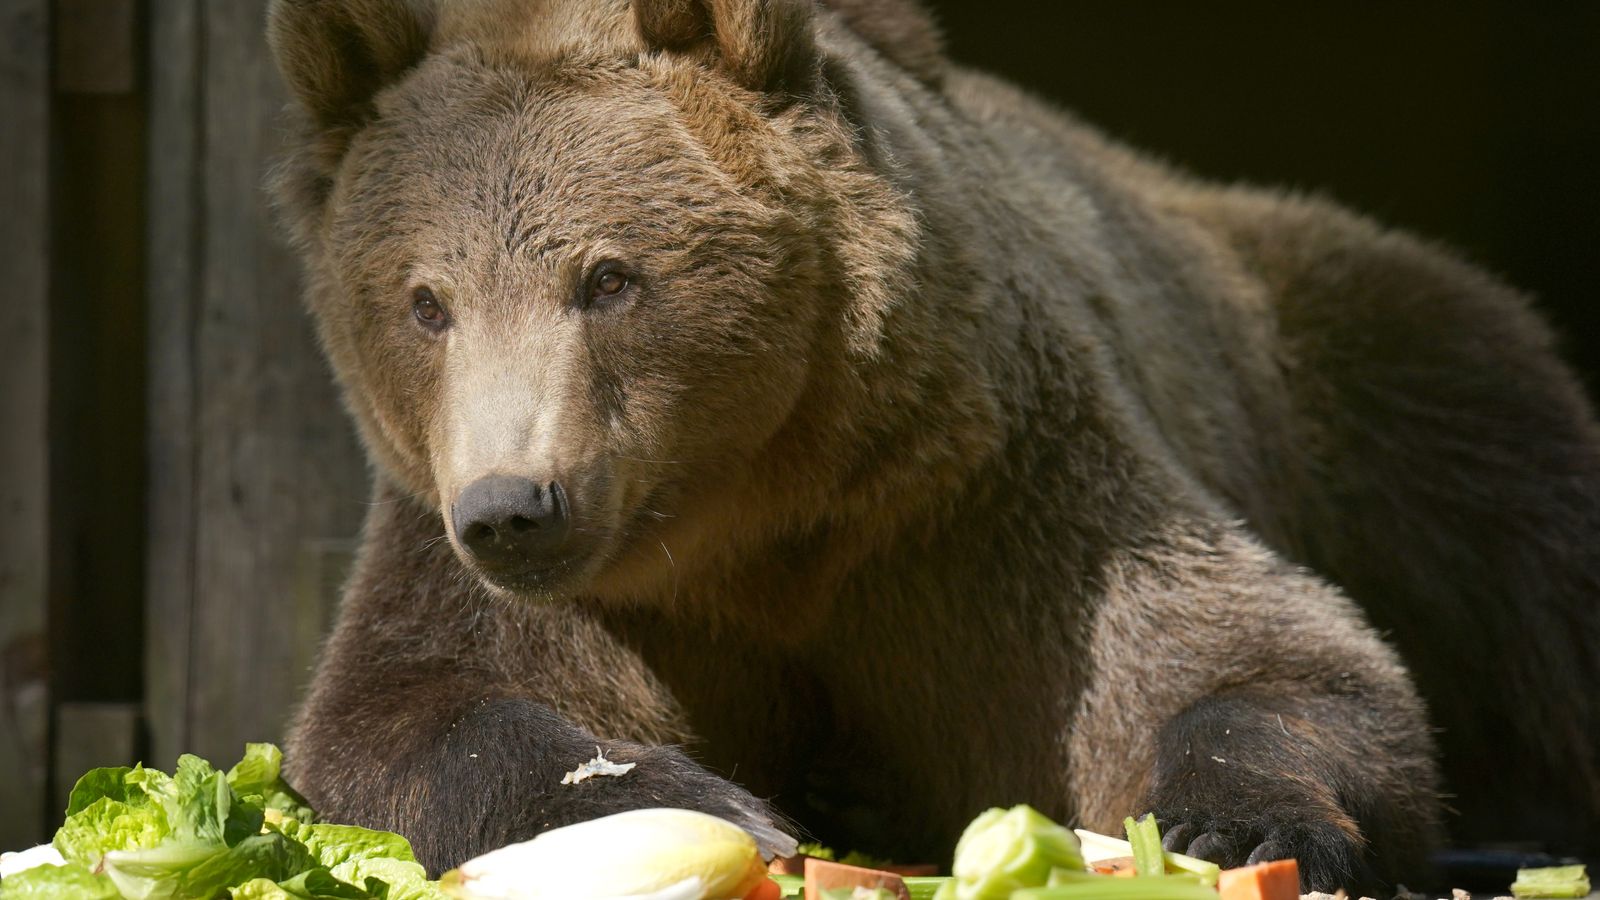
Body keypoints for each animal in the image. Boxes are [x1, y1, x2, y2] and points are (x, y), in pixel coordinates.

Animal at [266, 0, 1600, 891]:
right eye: (424, 301)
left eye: (609, 277)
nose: (514, 506)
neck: (756, 512)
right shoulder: (543, 566)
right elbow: (418, 710)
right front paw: (708, 806)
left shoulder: (987, 499)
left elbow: (1252, 655)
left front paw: (1230, 826)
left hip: (1374, 381)